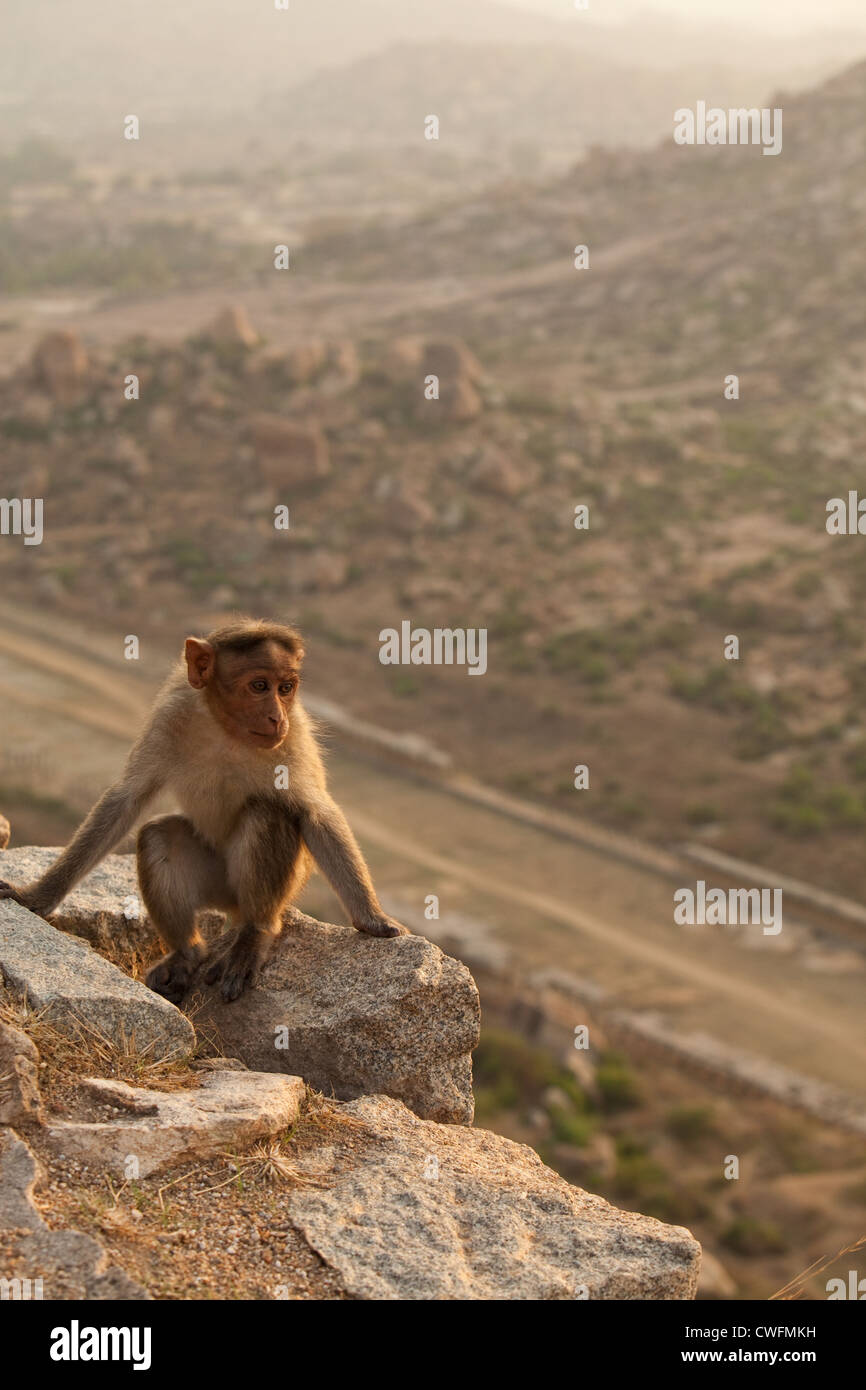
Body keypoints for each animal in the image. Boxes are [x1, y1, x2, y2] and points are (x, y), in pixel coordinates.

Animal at [0, 620, 409, 1003]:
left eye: (286, 688)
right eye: (259, 686)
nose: (277, 717)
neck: (227, 729)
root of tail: (235, 911)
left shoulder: (294, 737)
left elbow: (315, 814)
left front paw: (374, 920)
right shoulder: (171, 713)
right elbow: (126, 799)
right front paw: (37, 897)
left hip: (284, 885)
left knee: (267, 812)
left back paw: (256, 934)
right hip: (217, 884)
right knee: (158, 837)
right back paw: (188, 953)